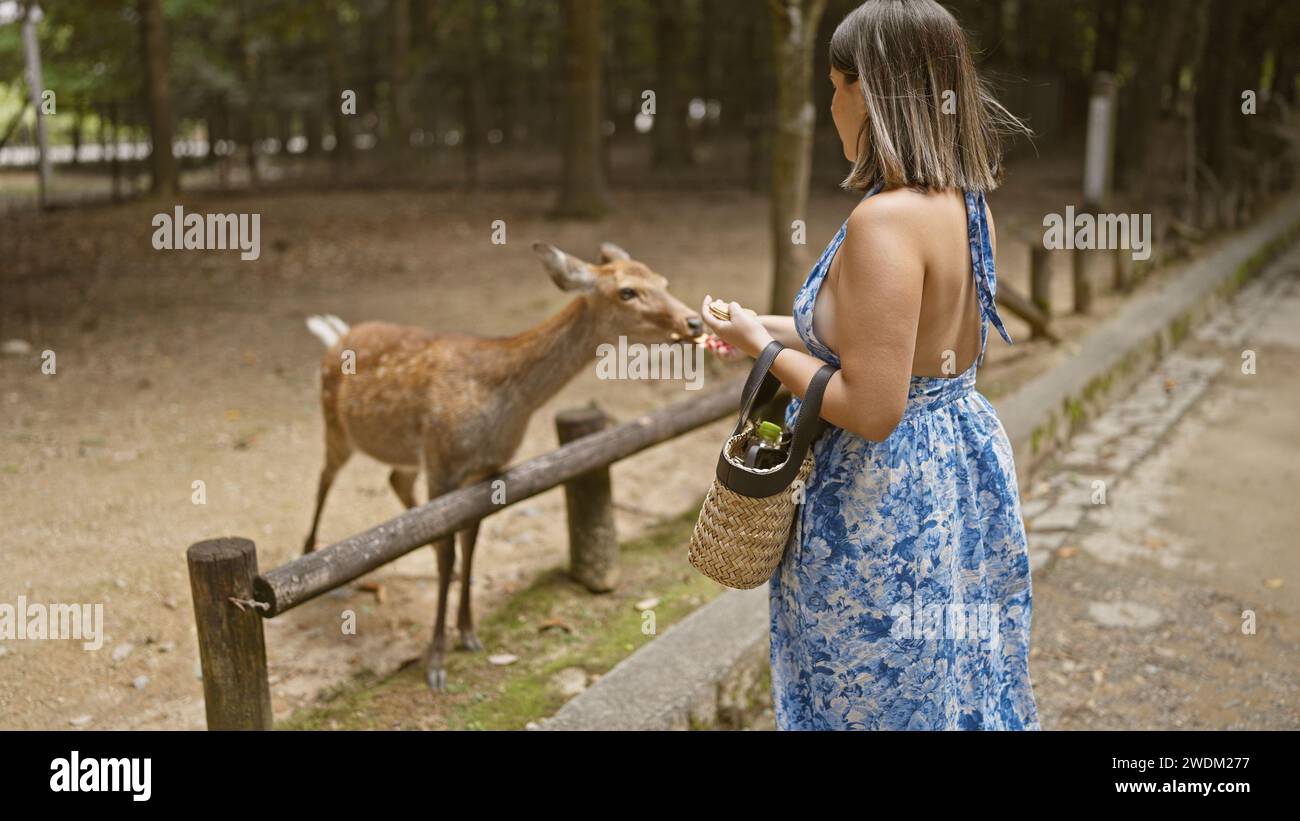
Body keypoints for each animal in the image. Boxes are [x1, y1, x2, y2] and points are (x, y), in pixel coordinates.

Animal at [302, 241, 703, 689]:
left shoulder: (487, 471)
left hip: (403, 451)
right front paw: (436, 662)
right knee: (325, 477)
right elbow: (448, 552)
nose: (693, 321)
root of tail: (337, 334)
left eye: (663, 281)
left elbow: (470, 542)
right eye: (627, 291)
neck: (504, 401)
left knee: (395, 479)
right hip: (337, 427)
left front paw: (469, 633)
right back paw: (309, 552)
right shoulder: (442, 462)